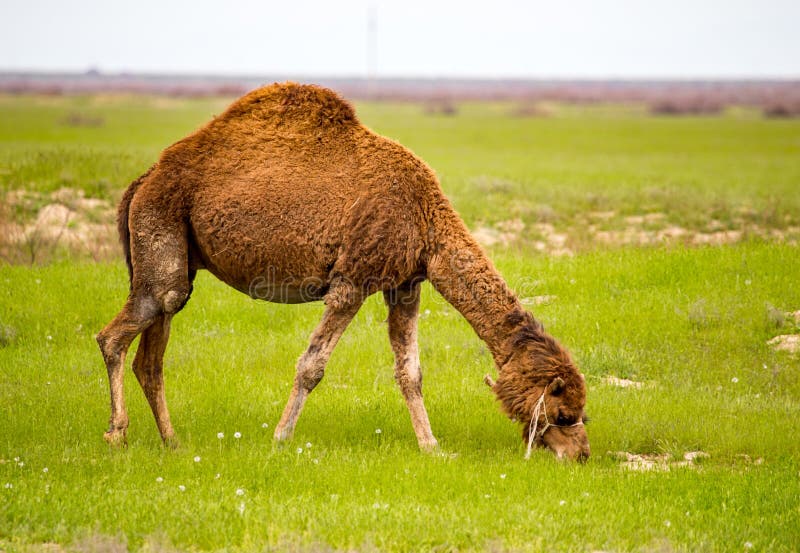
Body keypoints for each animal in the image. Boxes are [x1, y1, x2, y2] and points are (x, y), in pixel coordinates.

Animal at [97, 82, 590, 461]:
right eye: (563, 412)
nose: (581, 454)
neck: (426, 219)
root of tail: (142, 181)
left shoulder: (406, 283)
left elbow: (410, 372)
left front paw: (431, 446)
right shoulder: (353, 279)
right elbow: (311, 365)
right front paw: (281, 437)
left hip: (177, 256)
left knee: (151, 353)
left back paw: (171, 440)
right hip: (160, 230)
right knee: (117, 334)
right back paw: (117, 434)